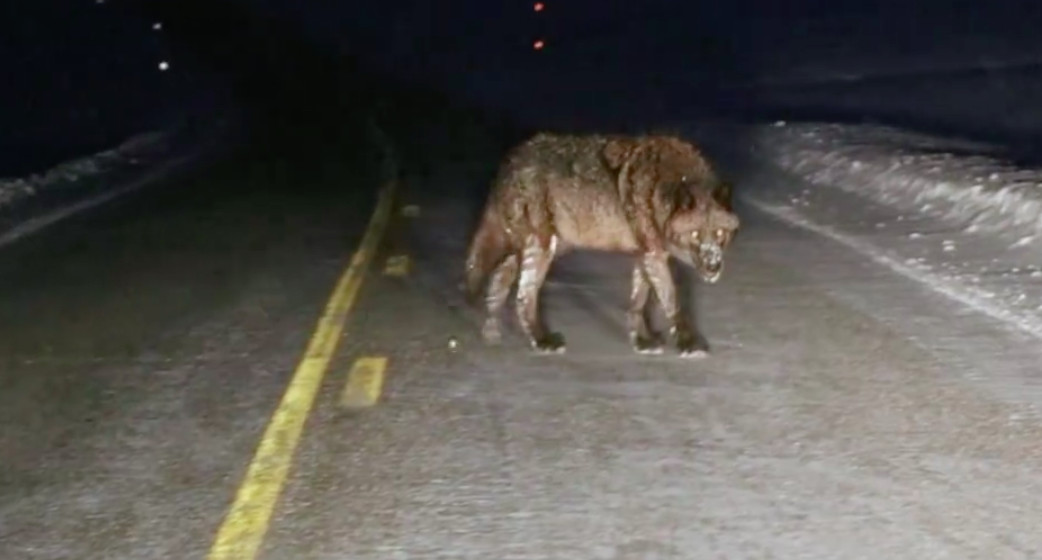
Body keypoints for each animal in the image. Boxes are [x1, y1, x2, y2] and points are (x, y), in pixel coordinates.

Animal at [463, 132, 739, 357]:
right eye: (695, 234)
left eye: (719, 233)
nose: (714, 266)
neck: (663, 184)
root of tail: (510, 160)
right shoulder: (654, 256)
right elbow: (673, 302)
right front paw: (689, 344)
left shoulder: (647, 253)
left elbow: (638, 302)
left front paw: (642, 341)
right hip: (542, 248)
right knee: (523, 295)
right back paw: (542, 341)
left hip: (546, 246)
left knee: (499, 280)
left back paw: (491, 332)